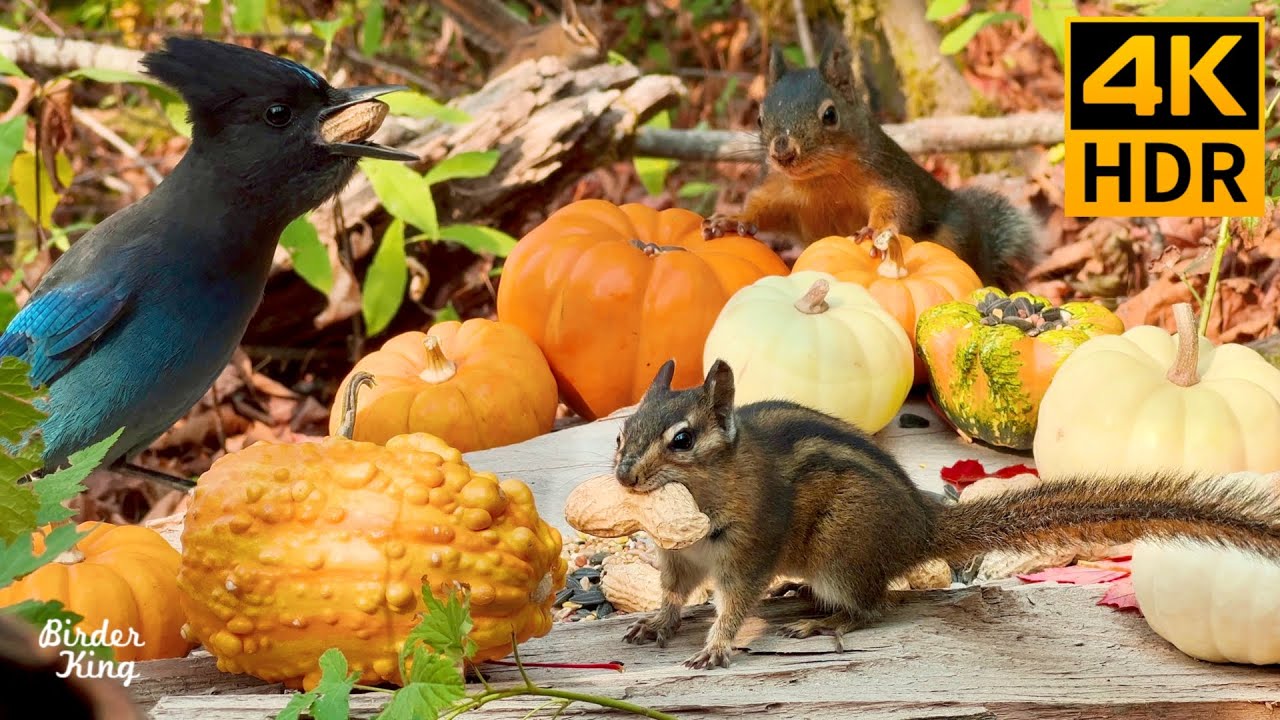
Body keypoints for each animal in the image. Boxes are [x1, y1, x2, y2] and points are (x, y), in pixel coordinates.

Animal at [614, 359, 1280, 670]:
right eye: (623, 431)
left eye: (681, 440)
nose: (622, 476)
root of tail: (920, 527)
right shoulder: (679, 558)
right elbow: (672, 594)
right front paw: (657, 624)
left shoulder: (747, 549)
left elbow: (733, 603)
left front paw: (716, 647)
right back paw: (797, 597)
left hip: (839, 549)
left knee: (875, 606)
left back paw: (825, 622)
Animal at [702, 36, 1042, 291]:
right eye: (760, 119)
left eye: (830, 115)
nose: (783, 152)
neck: (821, 180)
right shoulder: (776, 189)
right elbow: (761, 208)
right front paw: (731, 219)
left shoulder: (884, 175)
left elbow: (896, 203)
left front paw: (875, 230)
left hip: (954, 238)